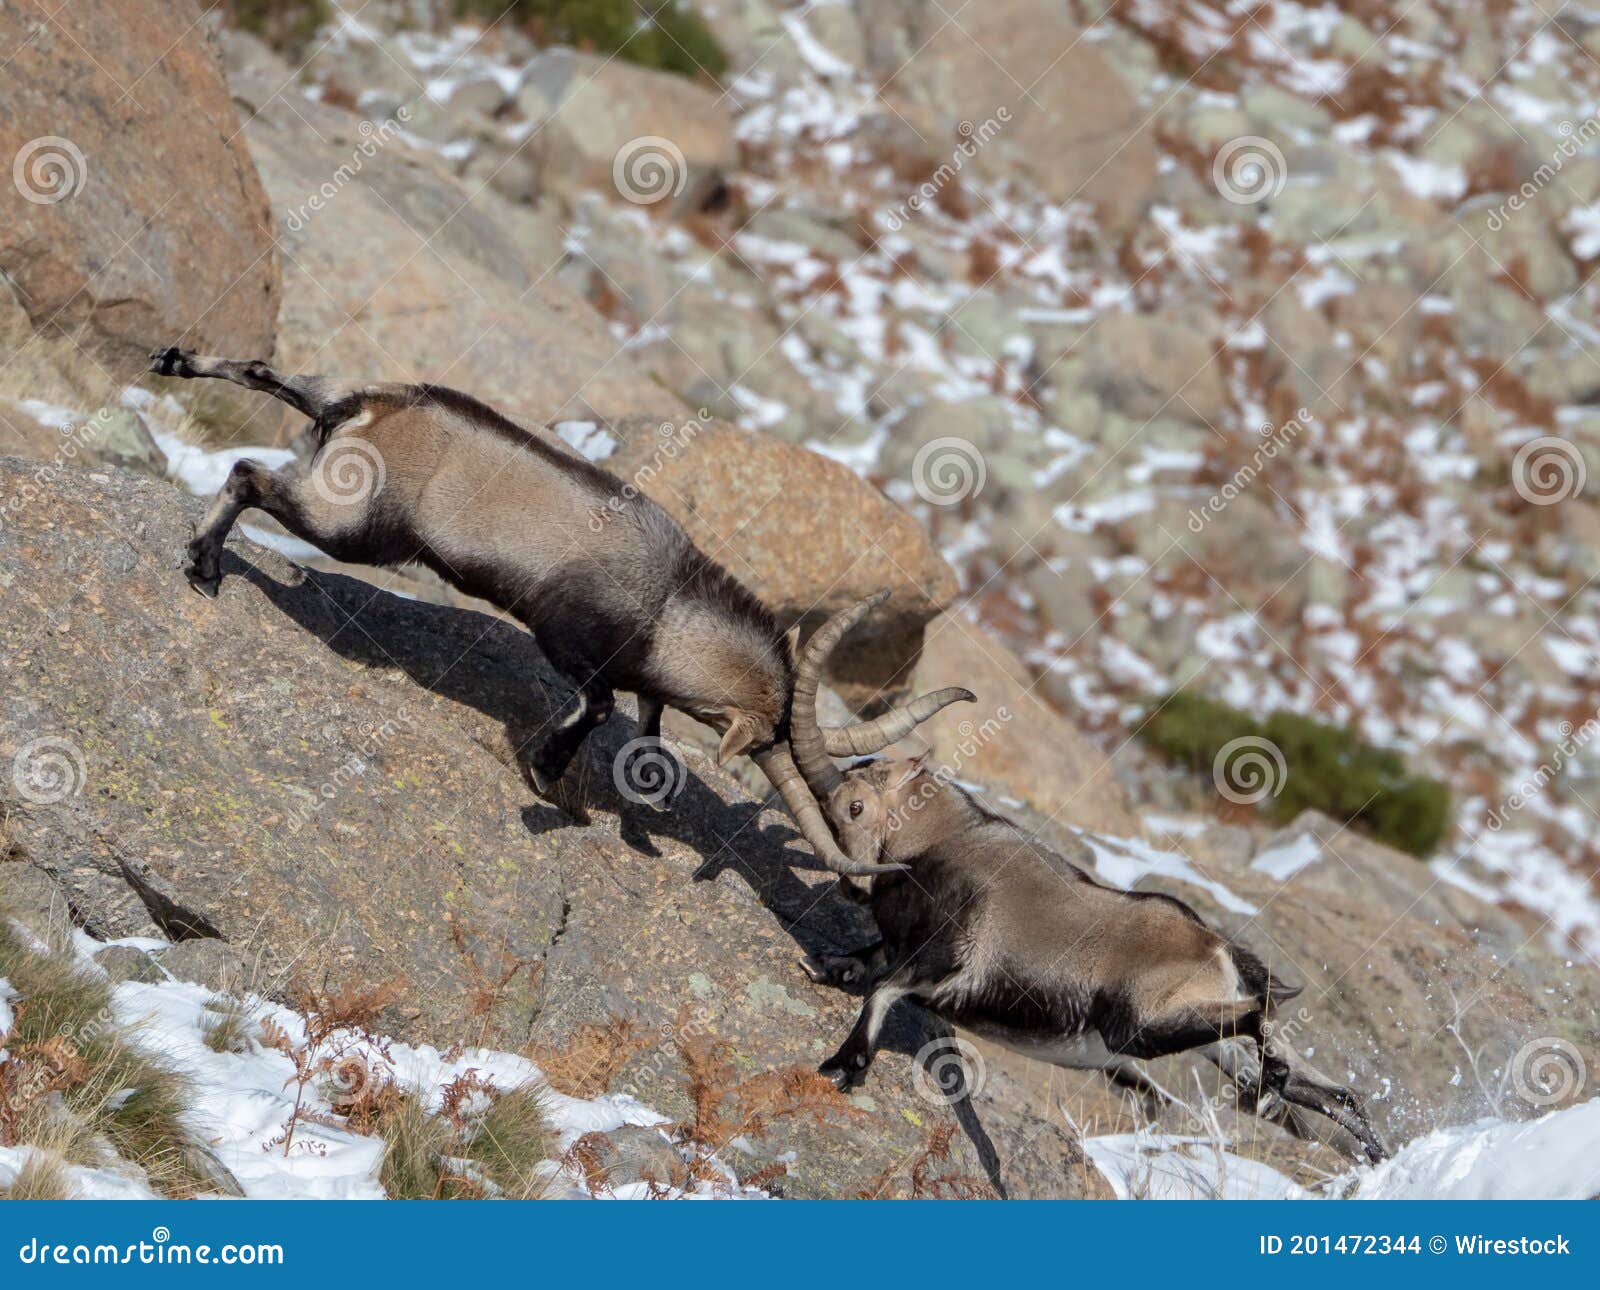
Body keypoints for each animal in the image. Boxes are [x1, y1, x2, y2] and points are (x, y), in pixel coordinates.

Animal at [147, 347, 971, 878]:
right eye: (768, 737)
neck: (670, 606)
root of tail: (372, 406)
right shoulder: (570, 637)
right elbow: (599, 706)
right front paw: (546, 772)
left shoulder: (640, 677)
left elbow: (643, 723)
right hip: (355, 523)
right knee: (248, 473)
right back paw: (204, 565)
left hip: (333, 424)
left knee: (263, 375)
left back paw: (175, 362)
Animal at [785, 599, 1388, 1163]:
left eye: (855, 806)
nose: (851, 885)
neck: (942, 843)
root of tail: (1219, 950)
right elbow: (867, 960)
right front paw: (828, 964)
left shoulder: (949, 960)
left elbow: (885, 989)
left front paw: (842, 1066)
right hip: (1205, 1040)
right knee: (1336, 1094)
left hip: (1142, 1023)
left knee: (1263, 1033)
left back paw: (1276, 1087)